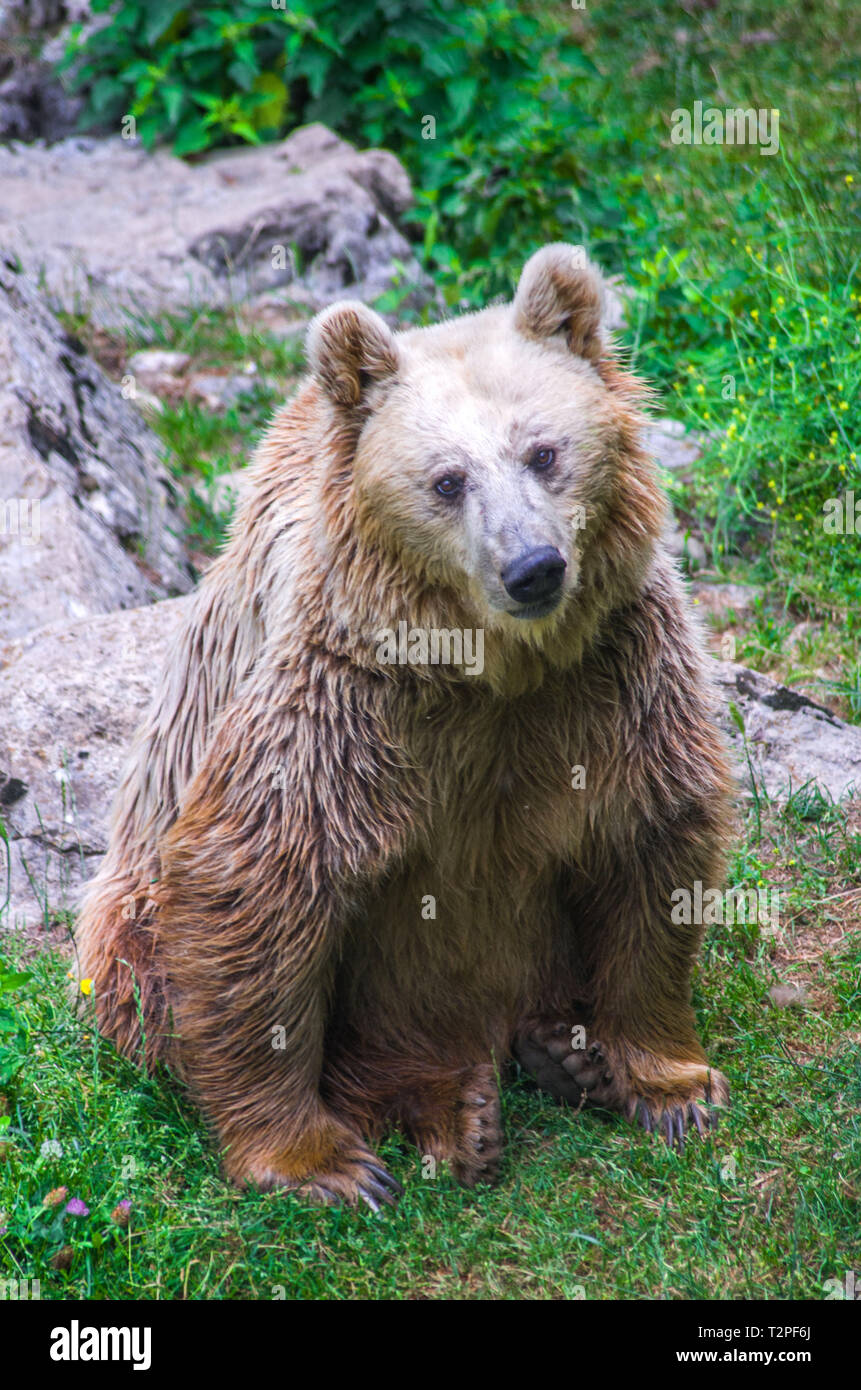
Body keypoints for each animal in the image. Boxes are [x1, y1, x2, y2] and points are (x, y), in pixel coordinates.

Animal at [76, 244, 732, 1210]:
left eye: (544, 452)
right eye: (446, 480)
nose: (533, 568)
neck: (493, 666)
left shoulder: (611, 670)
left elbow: (650, 835)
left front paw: (671, 1084)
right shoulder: (348, 695)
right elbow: (260, 878)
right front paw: (317, 1160)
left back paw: (556, 1052)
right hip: (131, 908)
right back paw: (457, 1110)